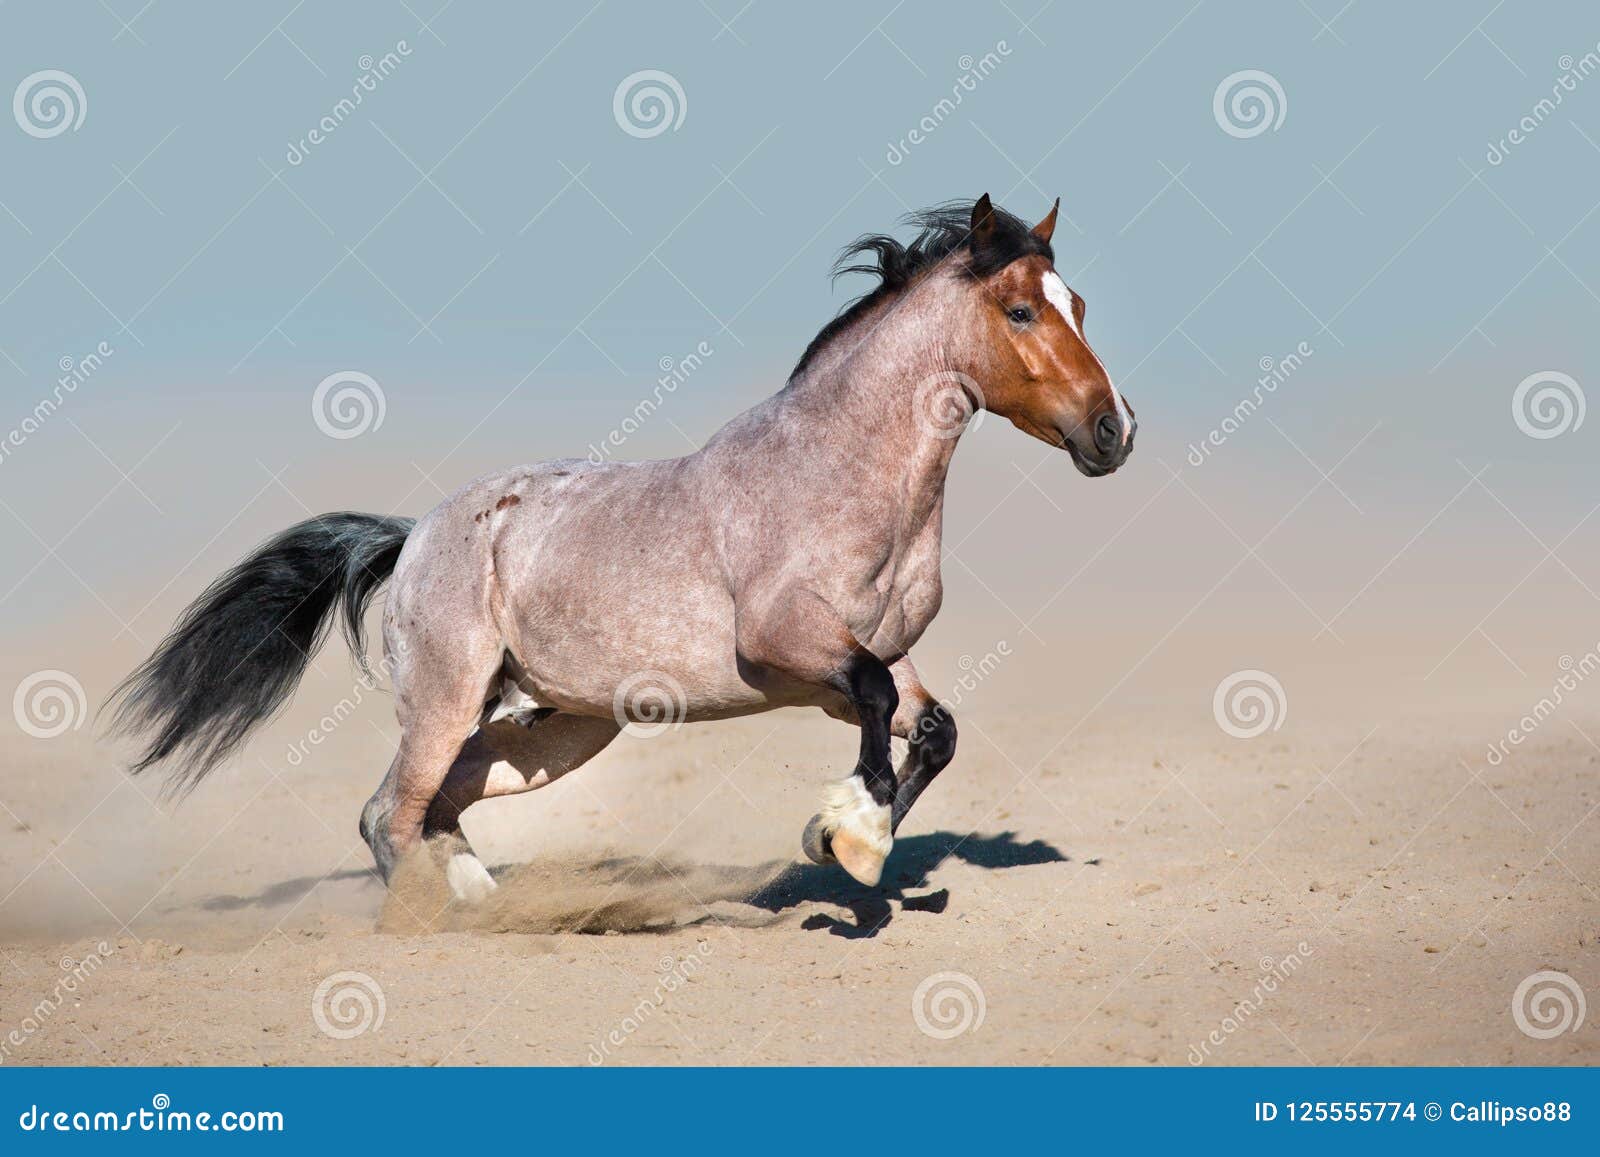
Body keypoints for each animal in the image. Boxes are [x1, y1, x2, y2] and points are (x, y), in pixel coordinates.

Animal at [109, 194, 1136, 903]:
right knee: (391, 814)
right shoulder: (792, 646)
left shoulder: (857, 659)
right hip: (445, 704)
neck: (843, 473)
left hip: (558, 728)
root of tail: (412, 540)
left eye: (1080, 302)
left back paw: (482, 899)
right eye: (1020, 312)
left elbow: (930, 727)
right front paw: (855, 838)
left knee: (431, 806)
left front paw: (839, 835)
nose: (1113, 429)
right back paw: (441, 916)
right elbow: (885, 705)